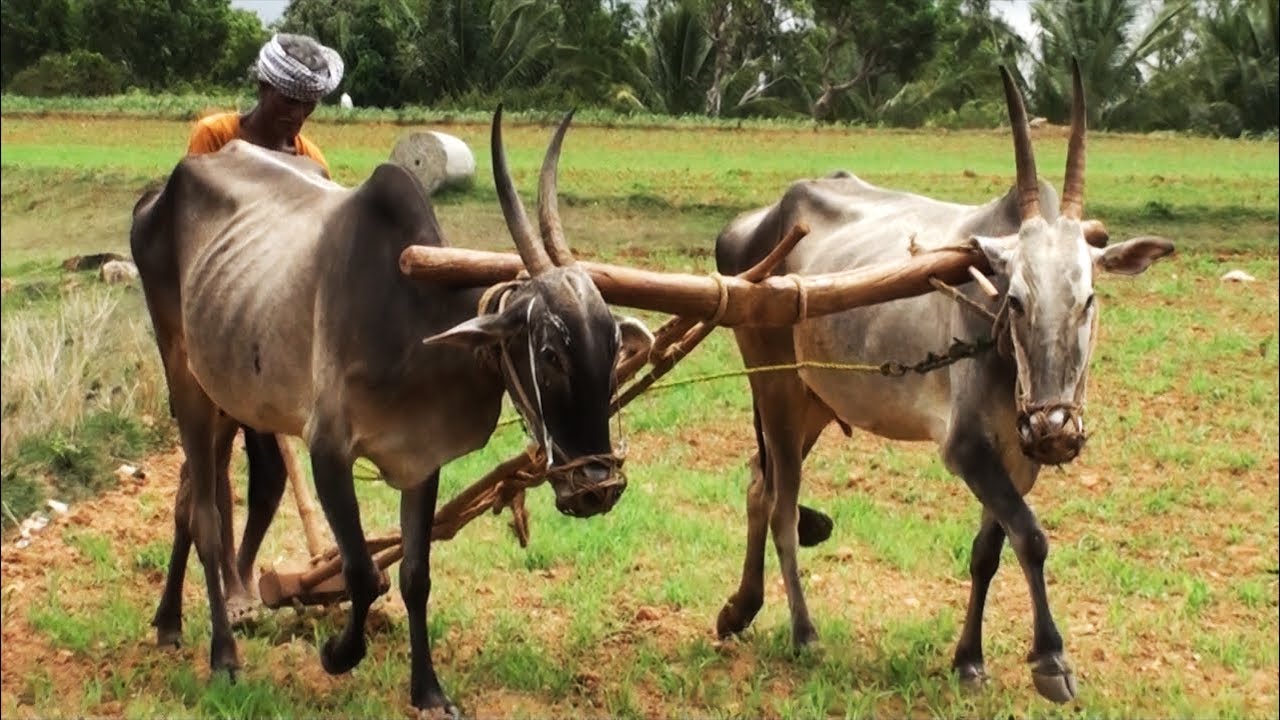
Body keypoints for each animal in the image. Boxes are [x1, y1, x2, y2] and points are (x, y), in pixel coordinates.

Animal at [129, 108, 653, 716]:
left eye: (614, 347)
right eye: (550, 354)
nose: (599, 486)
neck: (416, 332)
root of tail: (159, 193)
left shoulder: (421, 460)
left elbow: (414, 576)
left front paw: (427, 689)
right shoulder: (328, 450)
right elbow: (361, 572)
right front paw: (337, 655)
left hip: (224, 390)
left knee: (190, 498)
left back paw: (169, 621)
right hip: (184, 376)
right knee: (208, 518)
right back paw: (223, 655)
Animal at [712, 64, 1175, 703]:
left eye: (1088, 299)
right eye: (1016, 300)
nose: (1055, 431)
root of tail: (749, 226)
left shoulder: (1017, 458)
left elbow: (989, 552)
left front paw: (969, 659)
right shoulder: (967, 447)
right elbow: (1031, 536)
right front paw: (1051, 659)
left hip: (813, 401)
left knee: (760, 483)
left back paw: (740, 608)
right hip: (775, 388)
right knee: (782, 507)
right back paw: (803, 633)